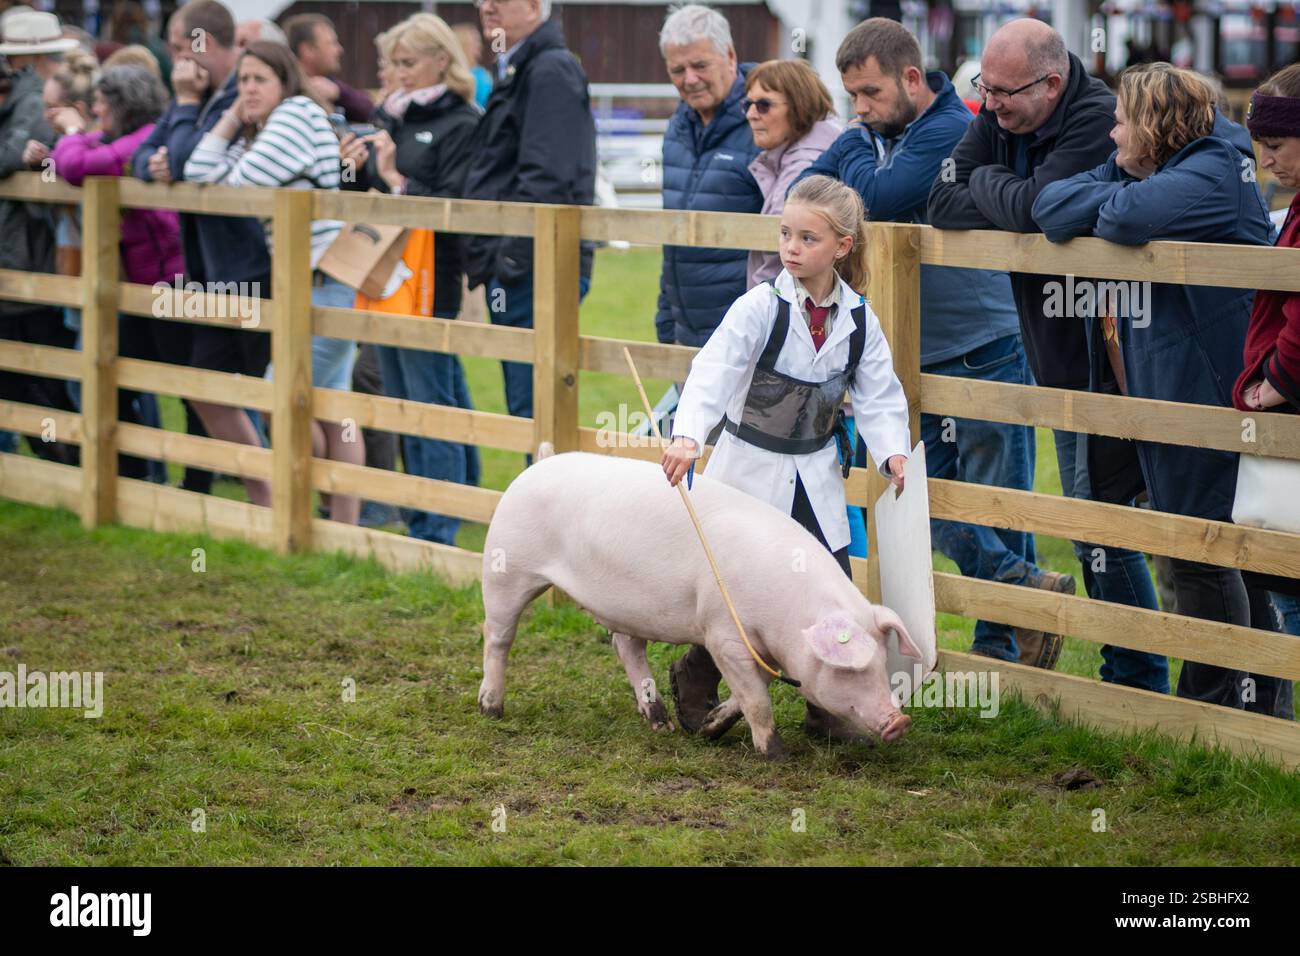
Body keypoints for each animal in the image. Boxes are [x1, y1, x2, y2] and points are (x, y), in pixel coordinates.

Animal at [477, 448, 921, 760]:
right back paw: (491, 709)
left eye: (881, 663)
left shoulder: (763, 650)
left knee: (626, 647)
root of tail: (539, 464)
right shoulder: (723, 631)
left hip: (626, 607)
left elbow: (750, 692)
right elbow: (756, 699)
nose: (900, 721)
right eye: (848, 670)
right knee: (497, 636)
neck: (788, 616)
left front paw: (708, 728)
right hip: (505, 568)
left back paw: (662, 725)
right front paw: (775, 756)